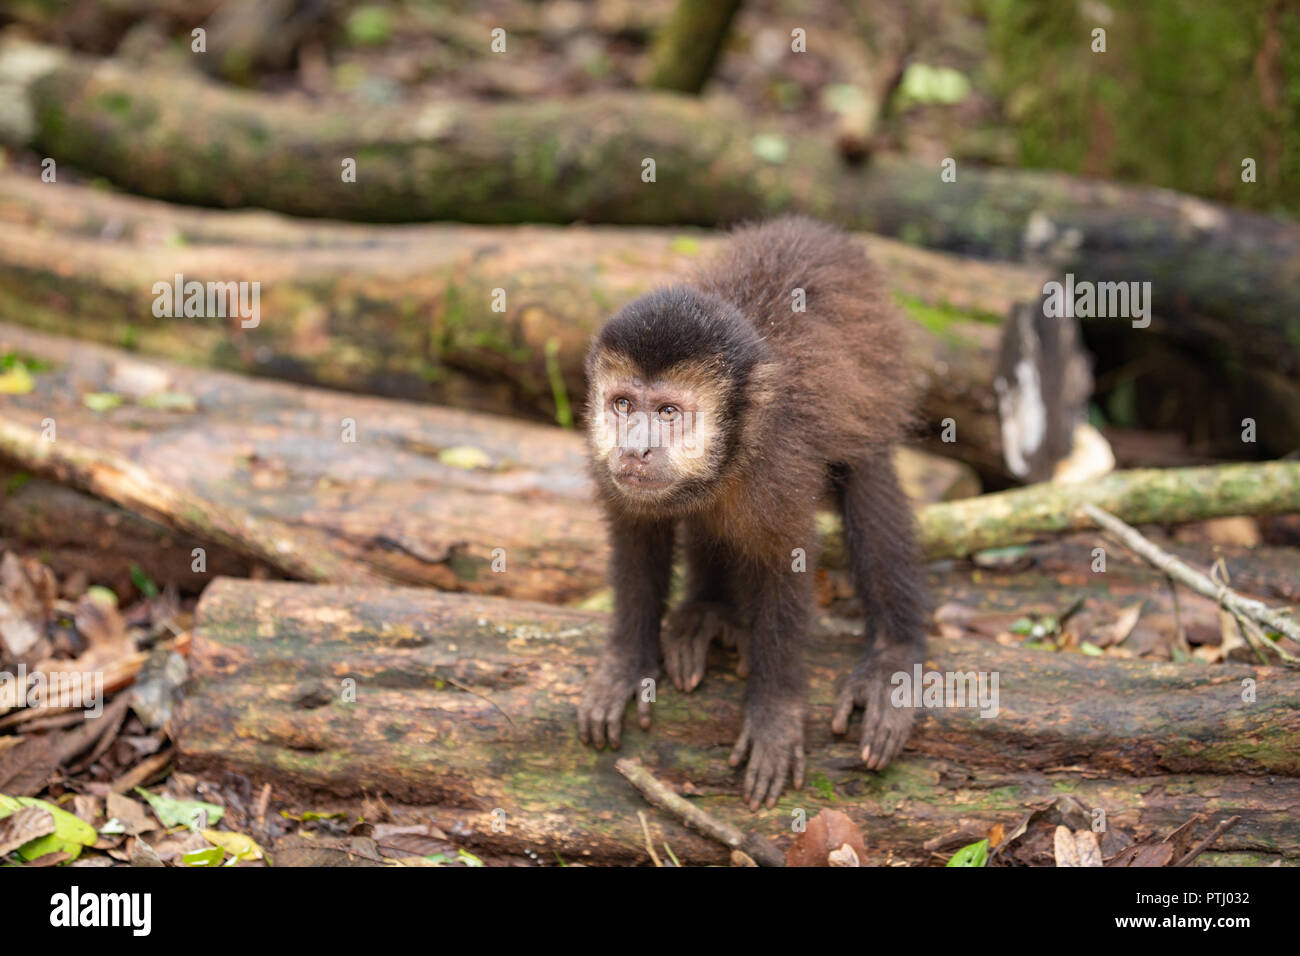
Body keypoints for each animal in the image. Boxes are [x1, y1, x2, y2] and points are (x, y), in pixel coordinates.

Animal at [576, 216, 927, 809]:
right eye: (622, 405)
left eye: (668, 413)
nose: (634, 449)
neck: (737, 446)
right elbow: (638, 535)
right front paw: (626, 663)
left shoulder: (777, 472)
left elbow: (784, 564)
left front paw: (776, 713)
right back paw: (709, 611)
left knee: (868, 473)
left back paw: (892, 658)